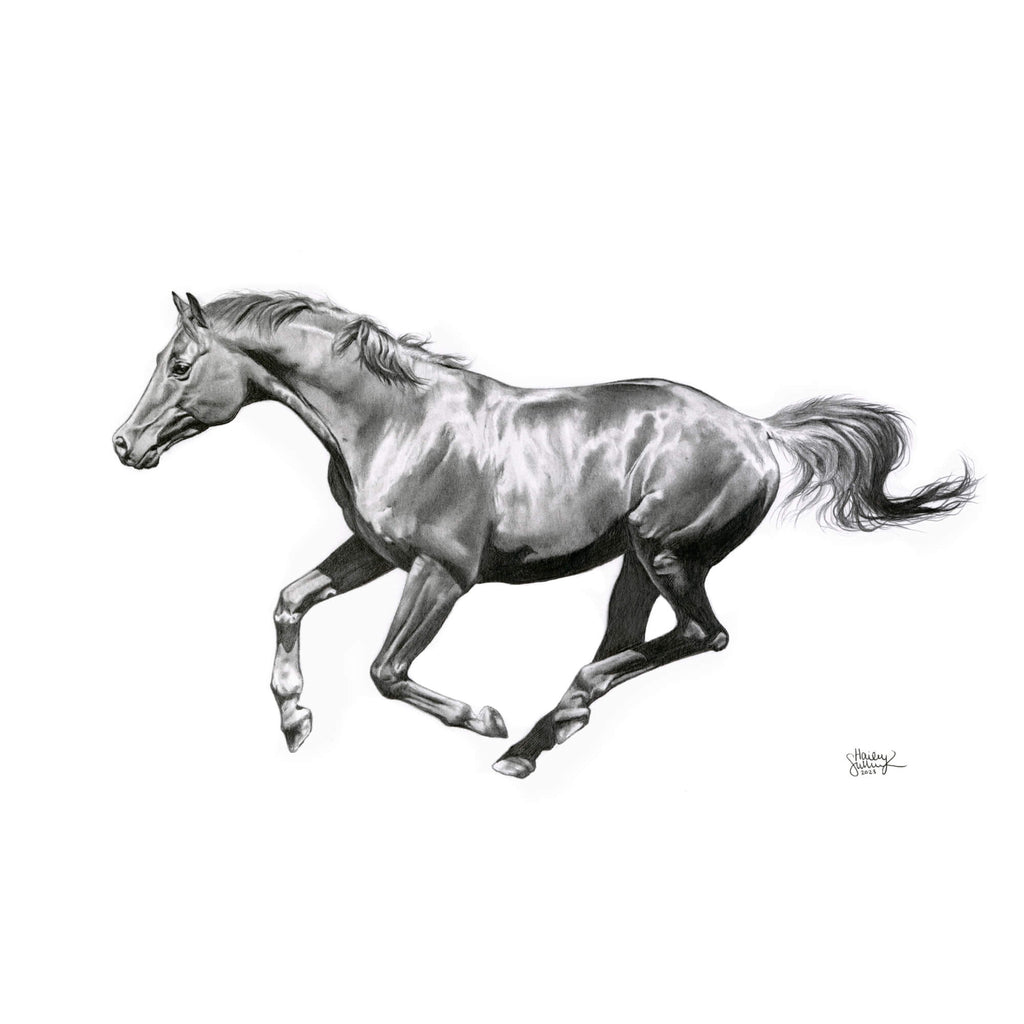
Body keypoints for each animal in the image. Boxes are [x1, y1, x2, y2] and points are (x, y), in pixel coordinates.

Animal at [113, 291, 975, 778]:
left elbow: (387, 671)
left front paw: (480, 717)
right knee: (635, 639)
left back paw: (531, 729)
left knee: (702, 636)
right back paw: (535, 741)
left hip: (664, 551)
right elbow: (290, 599)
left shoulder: (442, 572)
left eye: (182, 363)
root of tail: (759, 432)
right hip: (635, 564)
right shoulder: (375, 553)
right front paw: (295, 722)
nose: (124, 445)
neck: (393, 419)